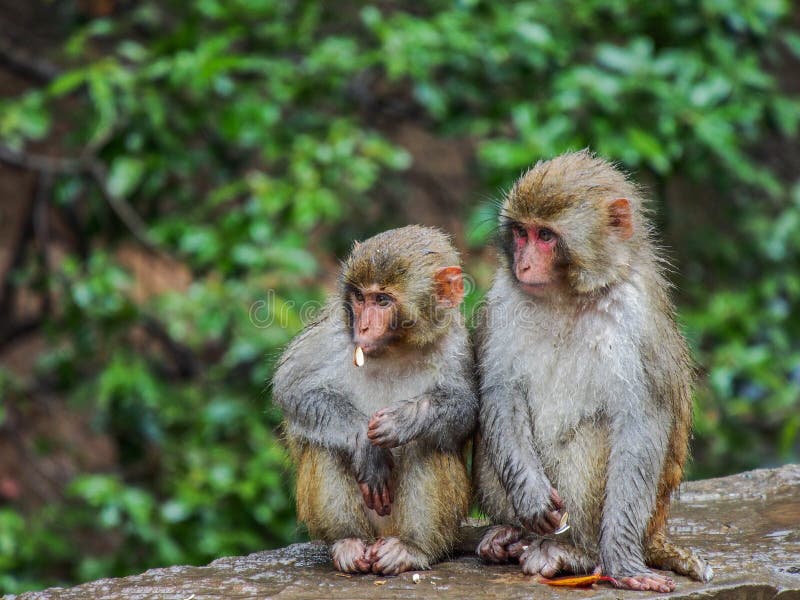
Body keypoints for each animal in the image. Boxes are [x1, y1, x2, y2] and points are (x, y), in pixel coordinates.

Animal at [272, 225, 477, 576]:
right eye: (359, 297)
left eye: (382, 300)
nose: (364, 326)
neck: (396, 347)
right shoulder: (335, 329)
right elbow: (293, 388)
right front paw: (366, 446)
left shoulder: (457, 343)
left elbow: (467, 407)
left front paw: (406, 420)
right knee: (325, 445)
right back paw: (348, 542)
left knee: (427, 444)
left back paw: (412, 548)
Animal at [472, 150, 713, 592]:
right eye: (521, 233)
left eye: (546, 237)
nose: (524, 265)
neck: (567, 297)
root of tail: (655, 533)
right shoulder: (502, 301)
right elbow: (500, 393)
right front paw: (531, 495)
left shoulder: (635, 320)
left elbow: (639, 425)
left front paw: (622, 561)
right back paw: (512, 534)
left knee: (591, 435)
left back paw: (577, 553)